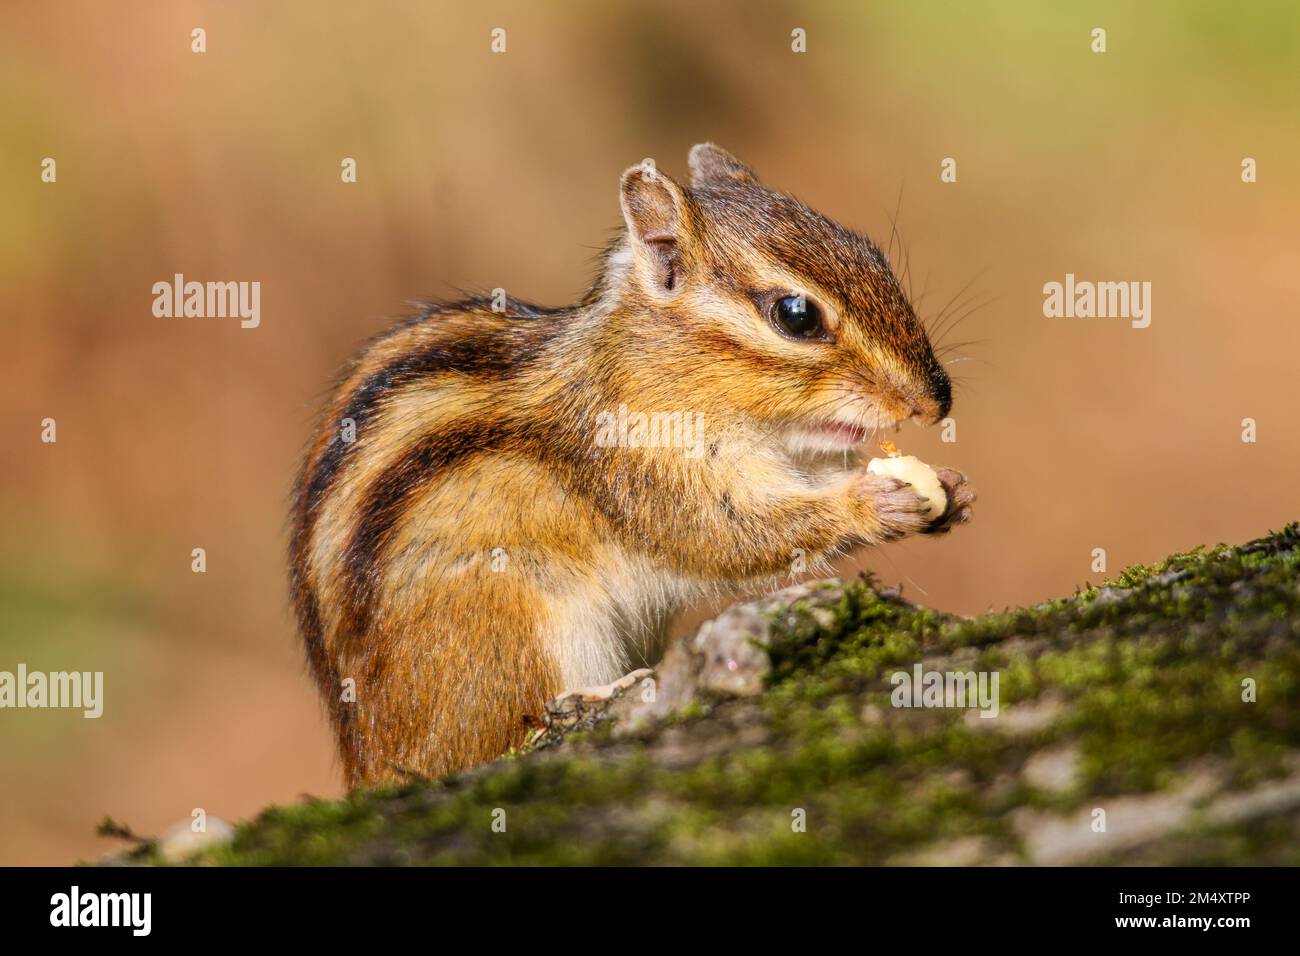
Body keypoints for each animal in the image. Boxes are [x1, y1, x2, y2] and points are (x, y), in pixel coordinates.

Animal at [290, 144, 975, 788]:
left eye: (872, 253)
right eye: (795, 315)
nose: (935, 399)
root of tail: (370, 755)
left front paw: (951, 491)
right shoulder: (640, 469)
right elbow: (726, 534)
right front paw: (873, 503)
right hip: (507, 612)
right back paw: (595, 696)